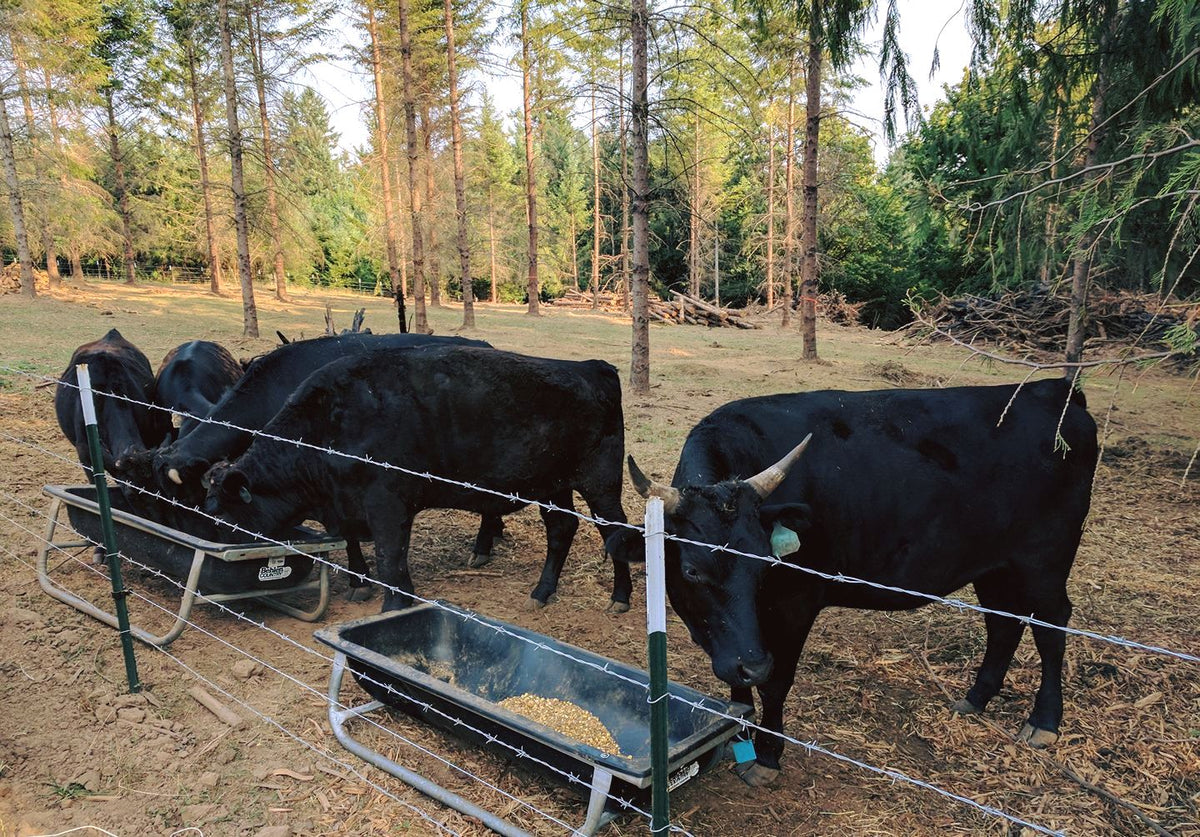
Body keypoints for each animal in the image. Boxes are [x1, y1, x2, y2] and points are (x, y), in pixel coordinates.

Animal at [203, 345, 635, 612]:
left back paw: (620, 597)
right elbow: (360, 547)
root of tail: (590, 367)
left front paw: (395, 603)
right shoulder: (345, 507)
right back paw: (542, 592)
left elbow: (390, 556)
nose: (218, 577)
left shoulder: (387, 504)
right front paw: (365, 586)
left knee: (618, 532)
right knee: (561, 529)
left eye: (226, 521)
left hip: (600, 484)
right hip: (553, 487)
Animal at [605, 378, 1098, 785]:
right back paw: (975, 698)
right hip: (995, 564)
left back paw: (1045, 721)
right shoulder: (733, 641)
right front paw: (740, 732)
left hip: (1045, 561)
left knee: (1051, 626)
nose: (754, 662)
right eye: (691, 570)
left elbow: (776, 682)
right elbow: (736, 683)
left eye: (767, 565)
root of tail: (1054, 390)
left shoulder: (796, 603)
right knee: (1004, 622)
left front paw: (767, 755)